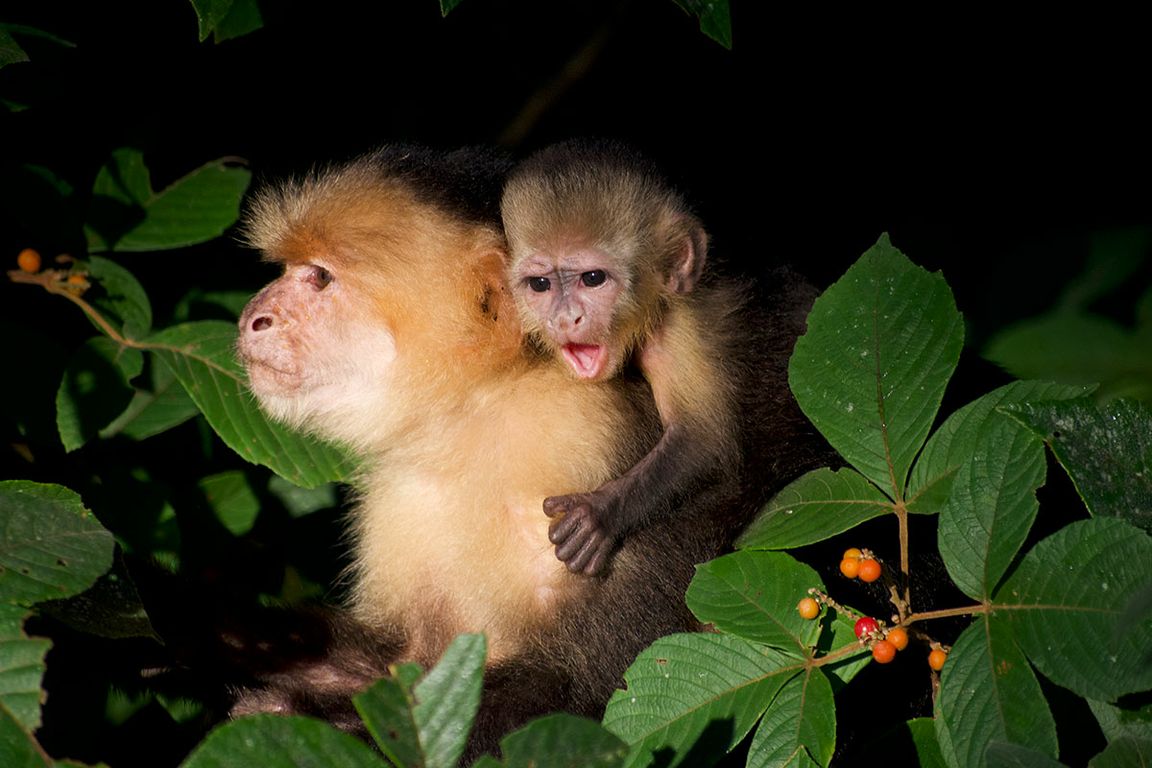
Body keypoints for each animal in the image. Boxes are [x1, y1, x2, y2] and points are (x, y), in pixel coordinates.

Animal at [499, 138, 750, 577]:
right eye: (540, 284)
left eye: (593, 279)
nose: (565, 319)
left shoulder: (679, 321)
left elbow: (703, 438)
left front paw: (603, 513)